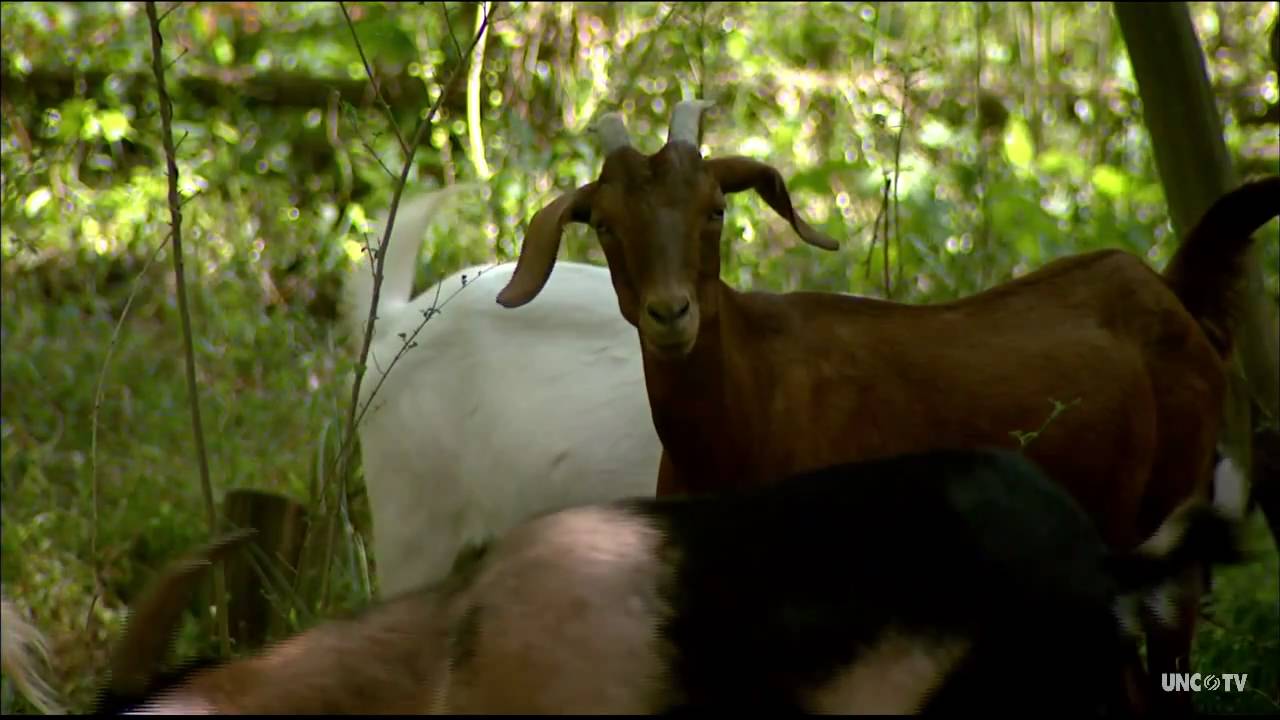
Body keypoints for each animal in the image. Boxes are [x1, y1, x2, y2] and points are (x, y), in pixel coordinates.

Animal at [495, 99, 1280, 705]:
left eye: (714, 208)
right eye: (604, 223)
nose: (671, 314)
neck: (751, 407)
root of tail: (1170, 290)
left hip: (1169, 538)